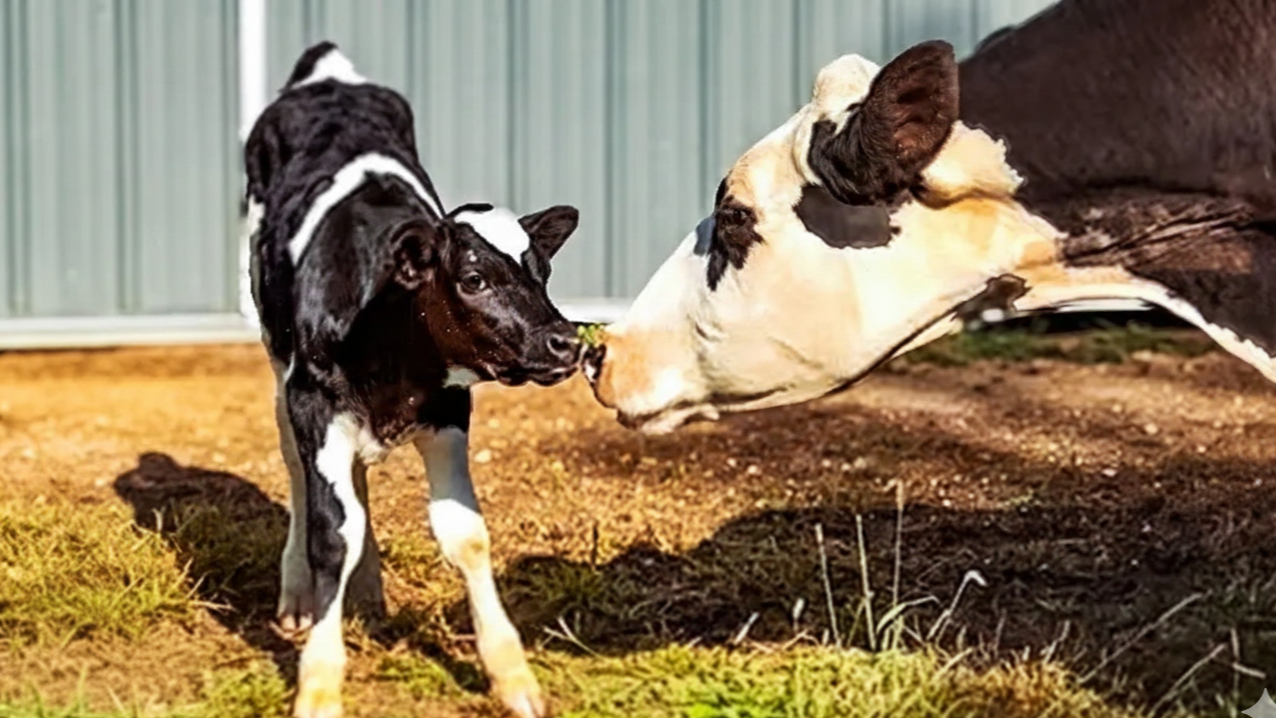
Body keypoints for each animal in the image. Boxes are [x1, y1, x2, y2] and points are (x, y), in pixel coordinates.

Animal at [244, 42, 580, 718]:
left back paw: (369, 590)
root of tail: (329, 75)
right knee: (298, 470)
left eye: (543, 270)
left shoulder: (448, 410)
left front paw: (512, 675)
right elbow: (329, 534)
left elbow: (466, 535)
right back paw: (297, 594)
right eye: (473, 278)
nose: (567, 341)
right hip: (276, 362)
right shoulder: (312, 402)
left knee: (356, 487)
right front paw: (318, 685)